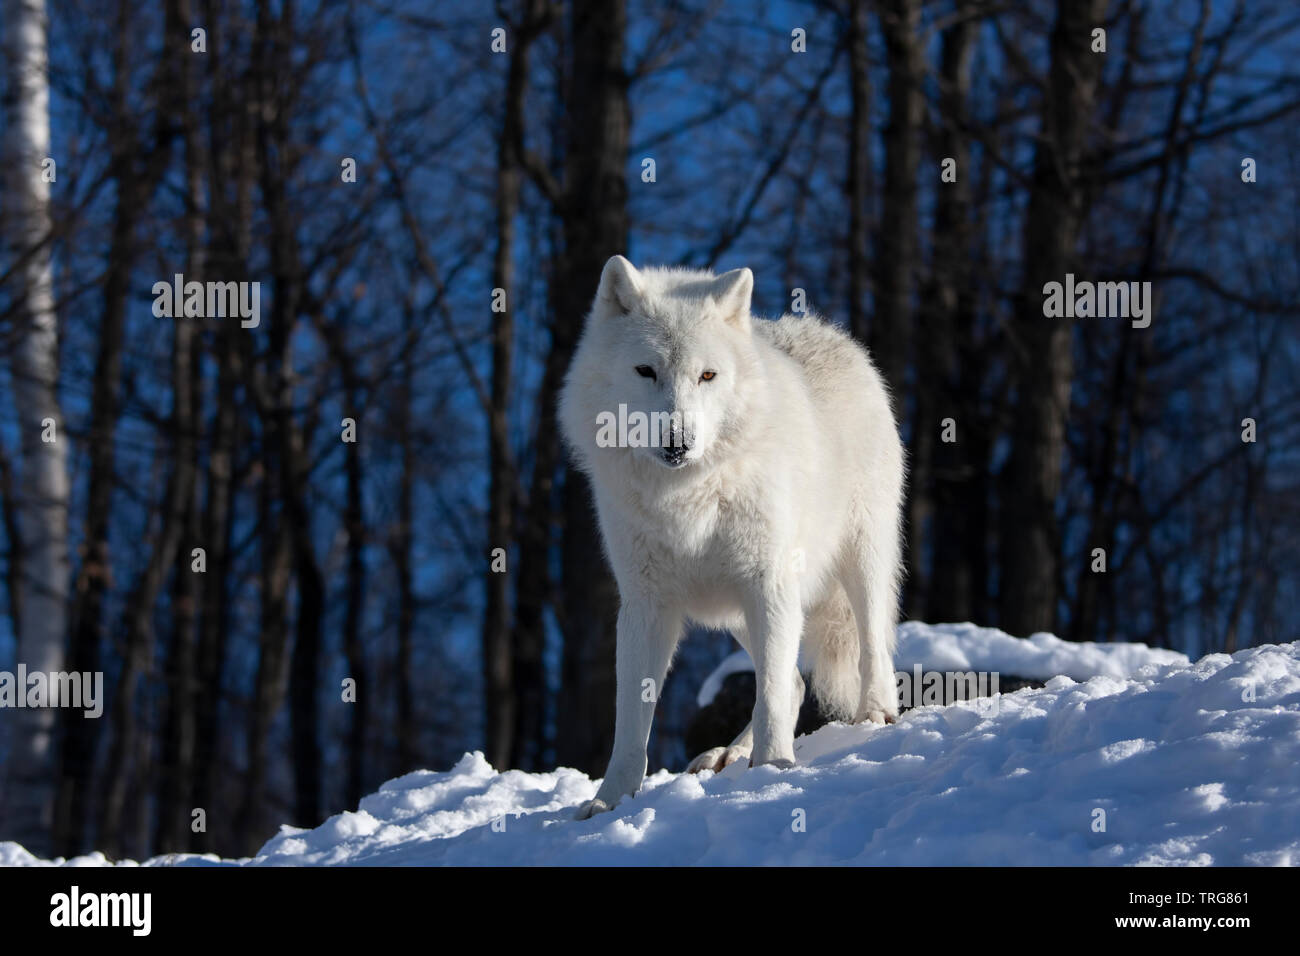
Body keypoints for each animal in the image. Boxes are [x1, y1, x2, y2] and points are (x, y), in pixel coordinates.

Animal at [559, 256, 905, 819]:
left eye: (707, 375)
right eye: (646, 371)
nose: (677, 442)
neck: (687, 494)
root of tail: (832, 335)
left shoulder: (770, 583)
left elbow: (771, 700)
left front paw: (774, 771)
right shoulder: (645, 604)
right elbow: (631, 725)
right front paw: (610, 802)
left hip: (859, 558)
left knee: (870, 647)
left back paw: (874, 716)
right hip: (737, 612)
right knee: (792, 681)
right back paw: (729, 754)